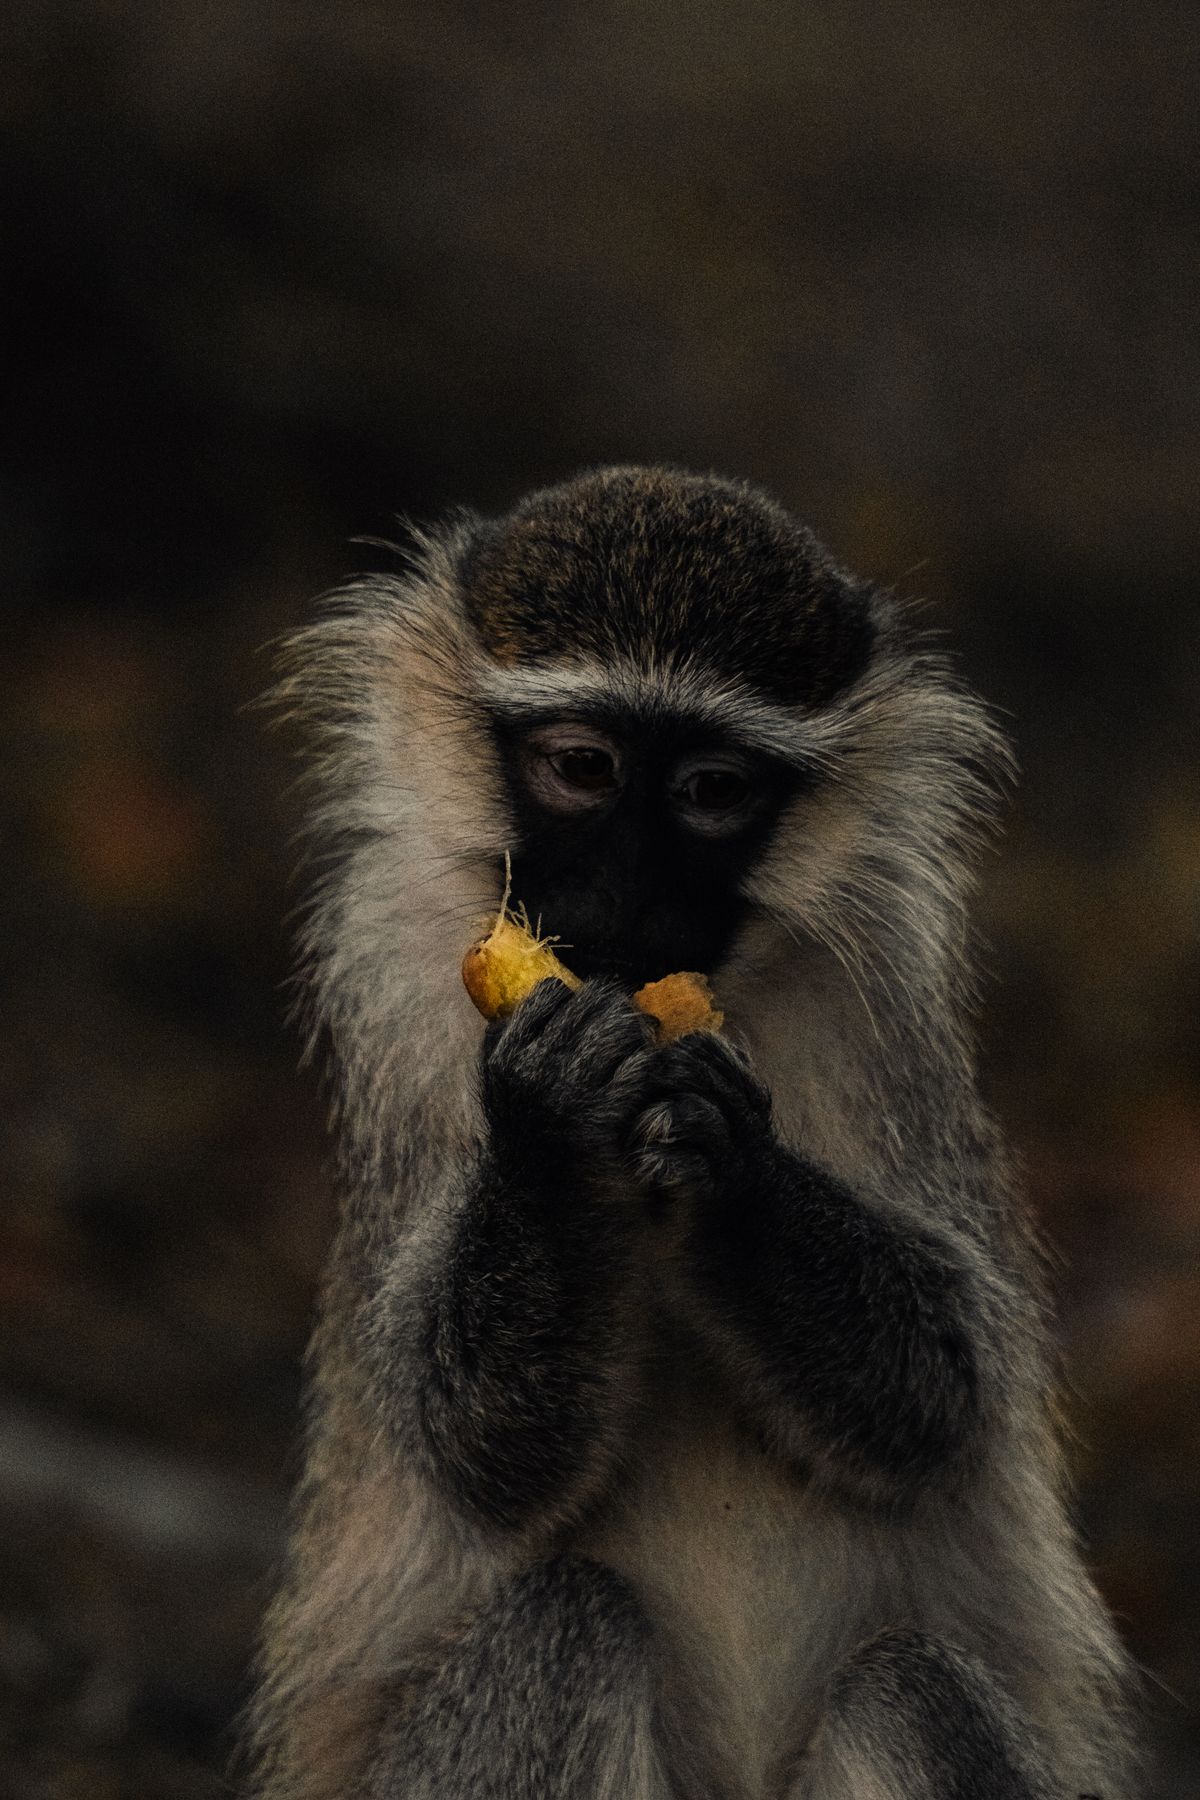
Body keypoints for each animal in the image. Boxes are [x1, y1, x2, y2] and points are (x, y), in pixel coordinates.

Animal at [248, 465, 1137, 1800]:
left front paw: (738, 1170)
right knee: (561, 1627)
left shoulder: (885, 1010)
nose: (625, 897)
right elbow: (471, 1450)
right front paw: (554, 1142)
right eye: (582, 765)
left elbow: (947, 1389)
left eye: (713, 791)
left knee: (912, 1686)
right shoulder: (398, 989)